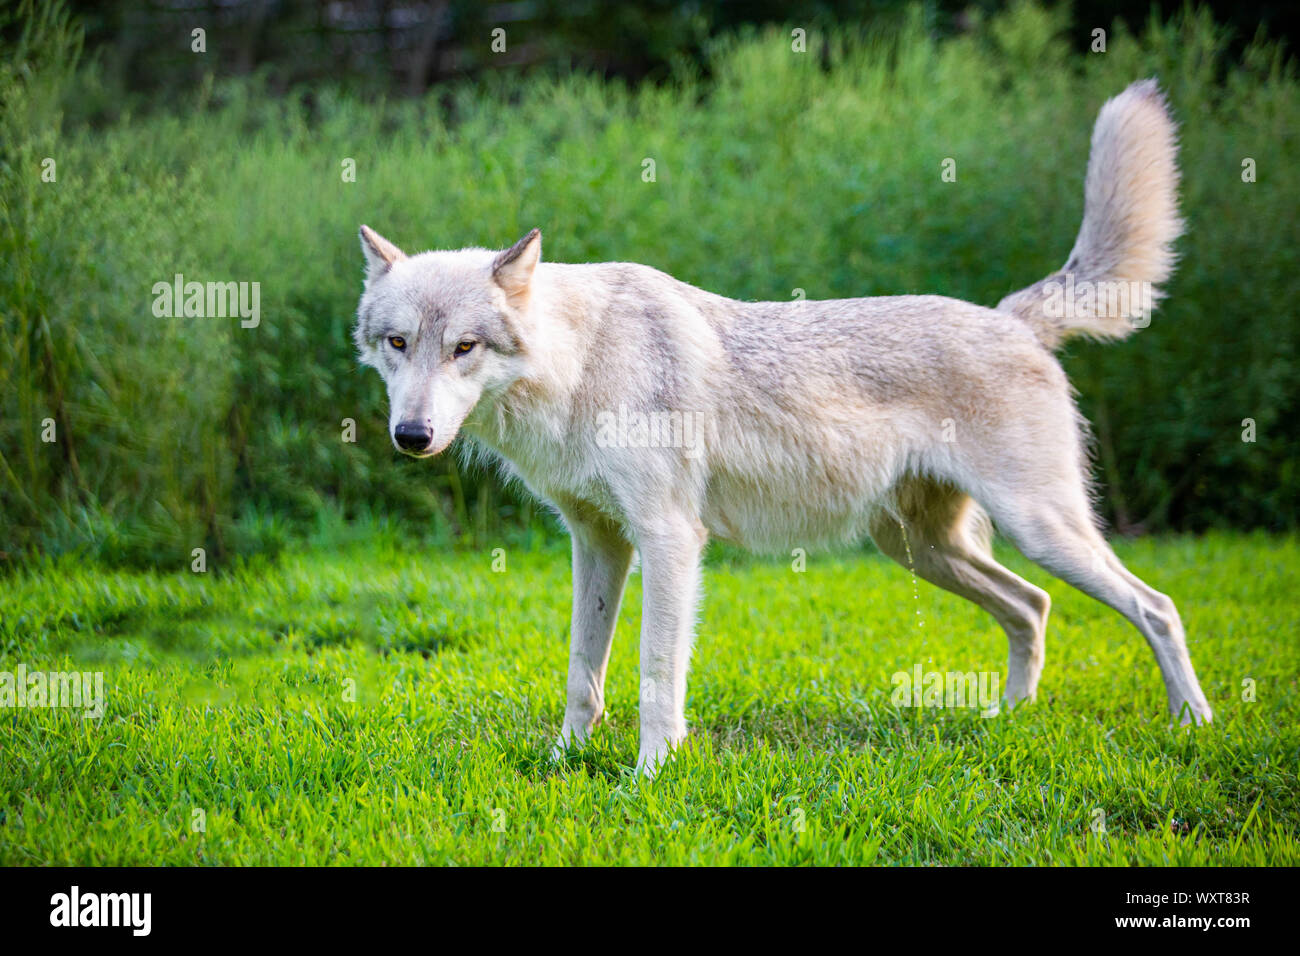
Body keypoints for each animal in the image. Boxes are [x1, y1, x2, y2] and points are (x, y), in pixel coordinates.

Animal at [354, 79, 1212, 774]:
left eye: (465, 348)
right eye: (398, 344)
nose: (411, 437)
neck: (581, 361)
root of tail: (1013, 318)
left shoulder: (670, 540)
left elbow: (656, 674)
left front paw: (650, 777)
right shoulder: (597, 543)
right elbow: (582, 675)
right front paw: (565, 761)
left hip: (1040, 532)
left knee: (1157, 608)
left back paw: (1193, 725)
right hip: (926, 550)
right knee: (1032, 608)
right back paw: (1010, 720)